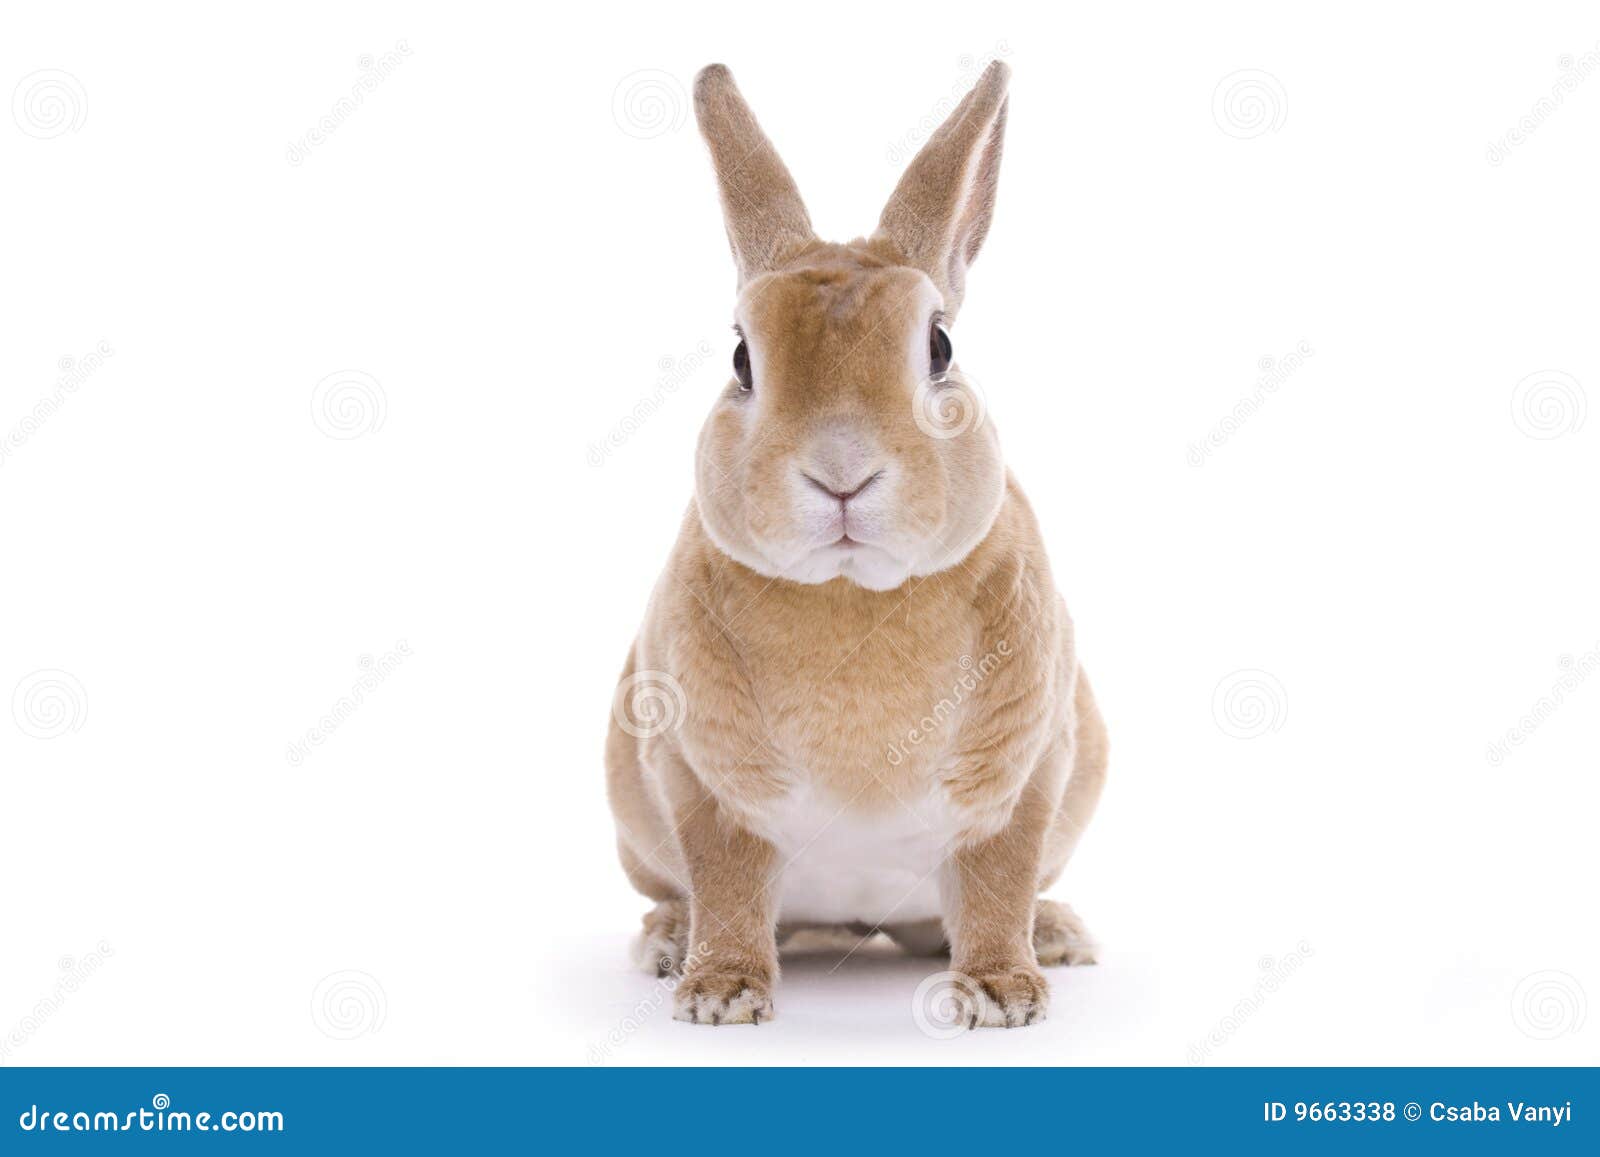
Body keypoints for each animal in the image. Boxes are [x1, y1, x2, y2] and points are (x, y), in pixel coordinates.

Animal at [605, 60, 1107, 1028]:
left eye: (939, 346)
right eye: (742, 361)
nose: (841, 471)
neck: (853, 589)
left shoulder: (1022, 781)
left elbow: (999, 879)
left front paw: (1001, 994)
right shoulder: (703, 784)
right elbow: (727, 882)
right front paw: (720, 994)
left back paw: (1056, 934)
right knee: (683, 893)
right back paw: (668, 942)